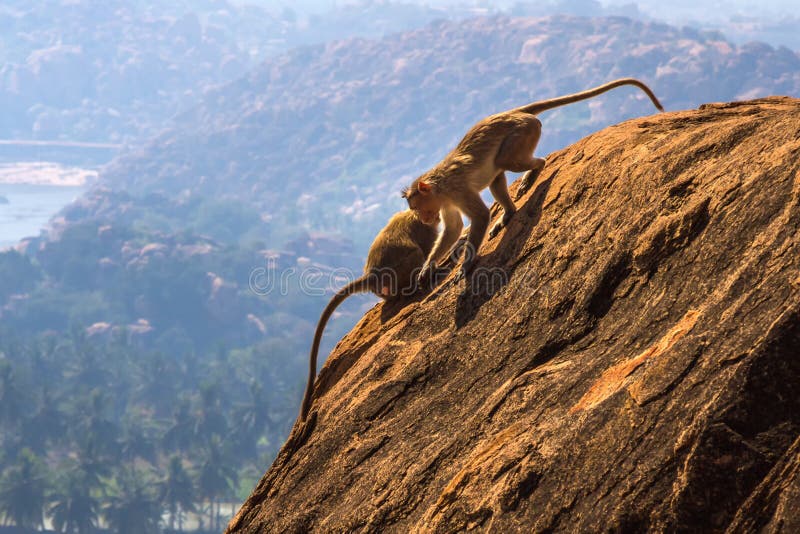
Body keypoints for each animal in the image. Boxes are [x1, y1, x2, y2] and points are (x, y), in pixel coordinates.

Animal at [299, 209, 440, 421]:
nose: (438, 218)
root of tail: (372, 277)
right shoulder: (426, 230)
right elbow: (429, 249)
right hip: (397, 274)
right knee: (416, 254)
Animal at [403, 78, 664, 283]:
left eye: (418, 207)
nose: (424, 220)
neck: (438, 186)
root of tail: (516, 112)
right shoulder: (446, 202)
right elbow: (453, 227)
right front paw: (428, 266)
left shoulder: (456, 190)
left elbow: (480, 216)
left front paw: (466, 265)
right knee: (497, 175)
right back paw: (508, 214)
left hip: (523, 132)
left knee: (508, 161)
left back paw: (537, 169)